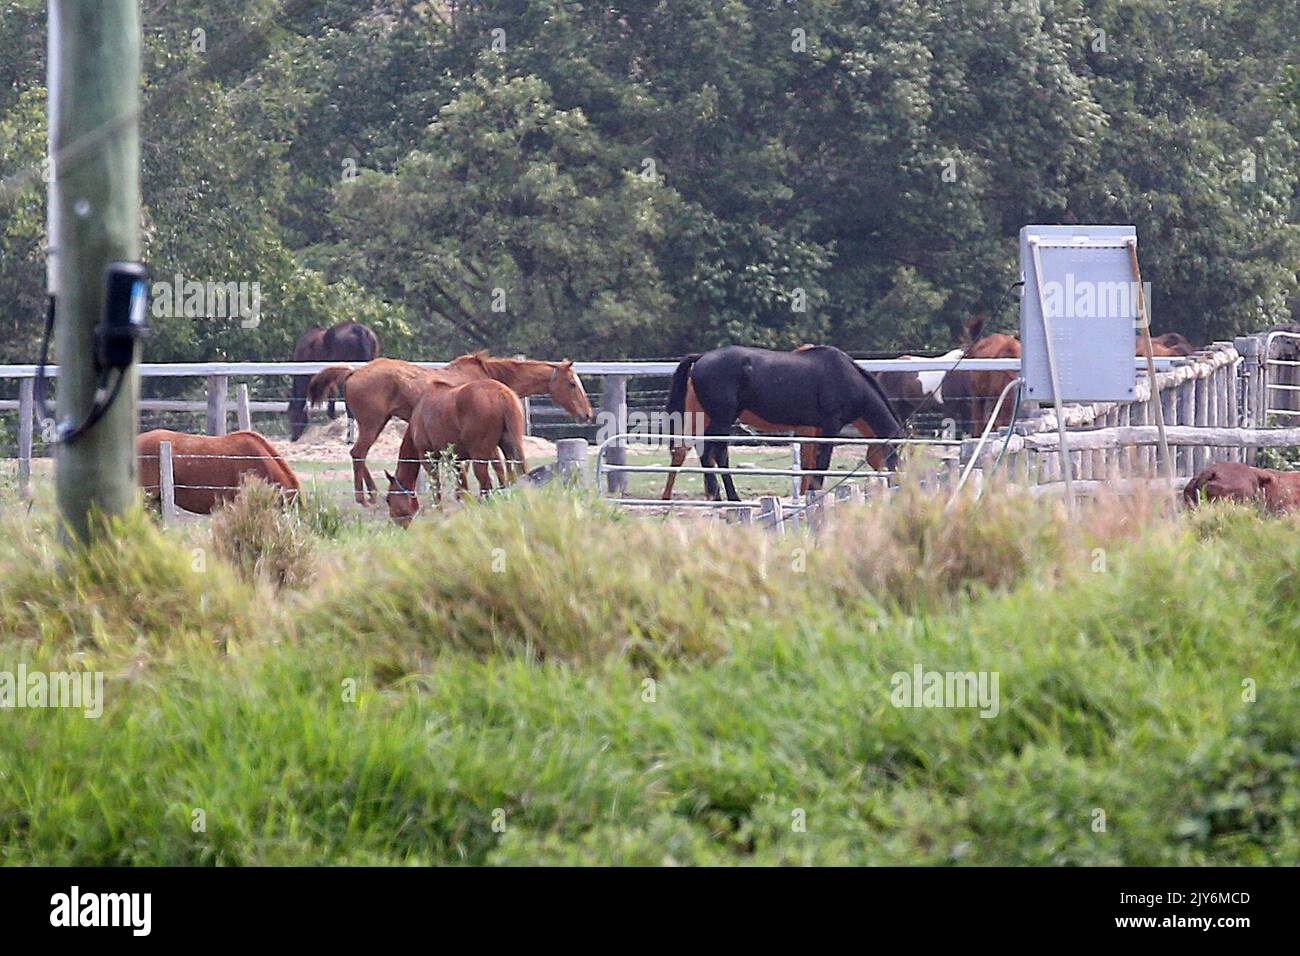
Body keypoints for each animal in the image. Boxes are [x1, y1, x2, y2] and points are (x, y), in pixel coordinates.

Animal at [309, 352, 592, 504]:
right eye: (571, 384)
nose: (586, 414)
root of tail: (353, 372)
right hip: (372, 424)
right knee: (358, 453)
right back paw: (364, 498)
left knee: (360, 455)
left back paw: (373, 493)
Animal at [384, 380, 527, 527]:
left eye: (388, 499)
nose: (398, 524)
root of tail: (501, 393)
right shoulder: (457, 459)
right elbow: (463, 486)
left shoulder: (428, 459)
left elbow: (436, 487)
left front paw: (439, 512)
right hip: (511, 447)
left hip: (479, 458)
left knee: (486, 485)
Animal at [671, 345, 903, 502]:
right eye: (894, 452)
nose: (899, 485)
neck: (847, 377)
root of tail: (702, 358)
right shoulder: (831, 425)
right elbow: (823, 461)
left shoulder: (818, 428)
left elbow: (813, 462)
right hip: (722, 418)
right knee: (716, 452)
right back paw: (728, 497)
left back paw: (717, 496)